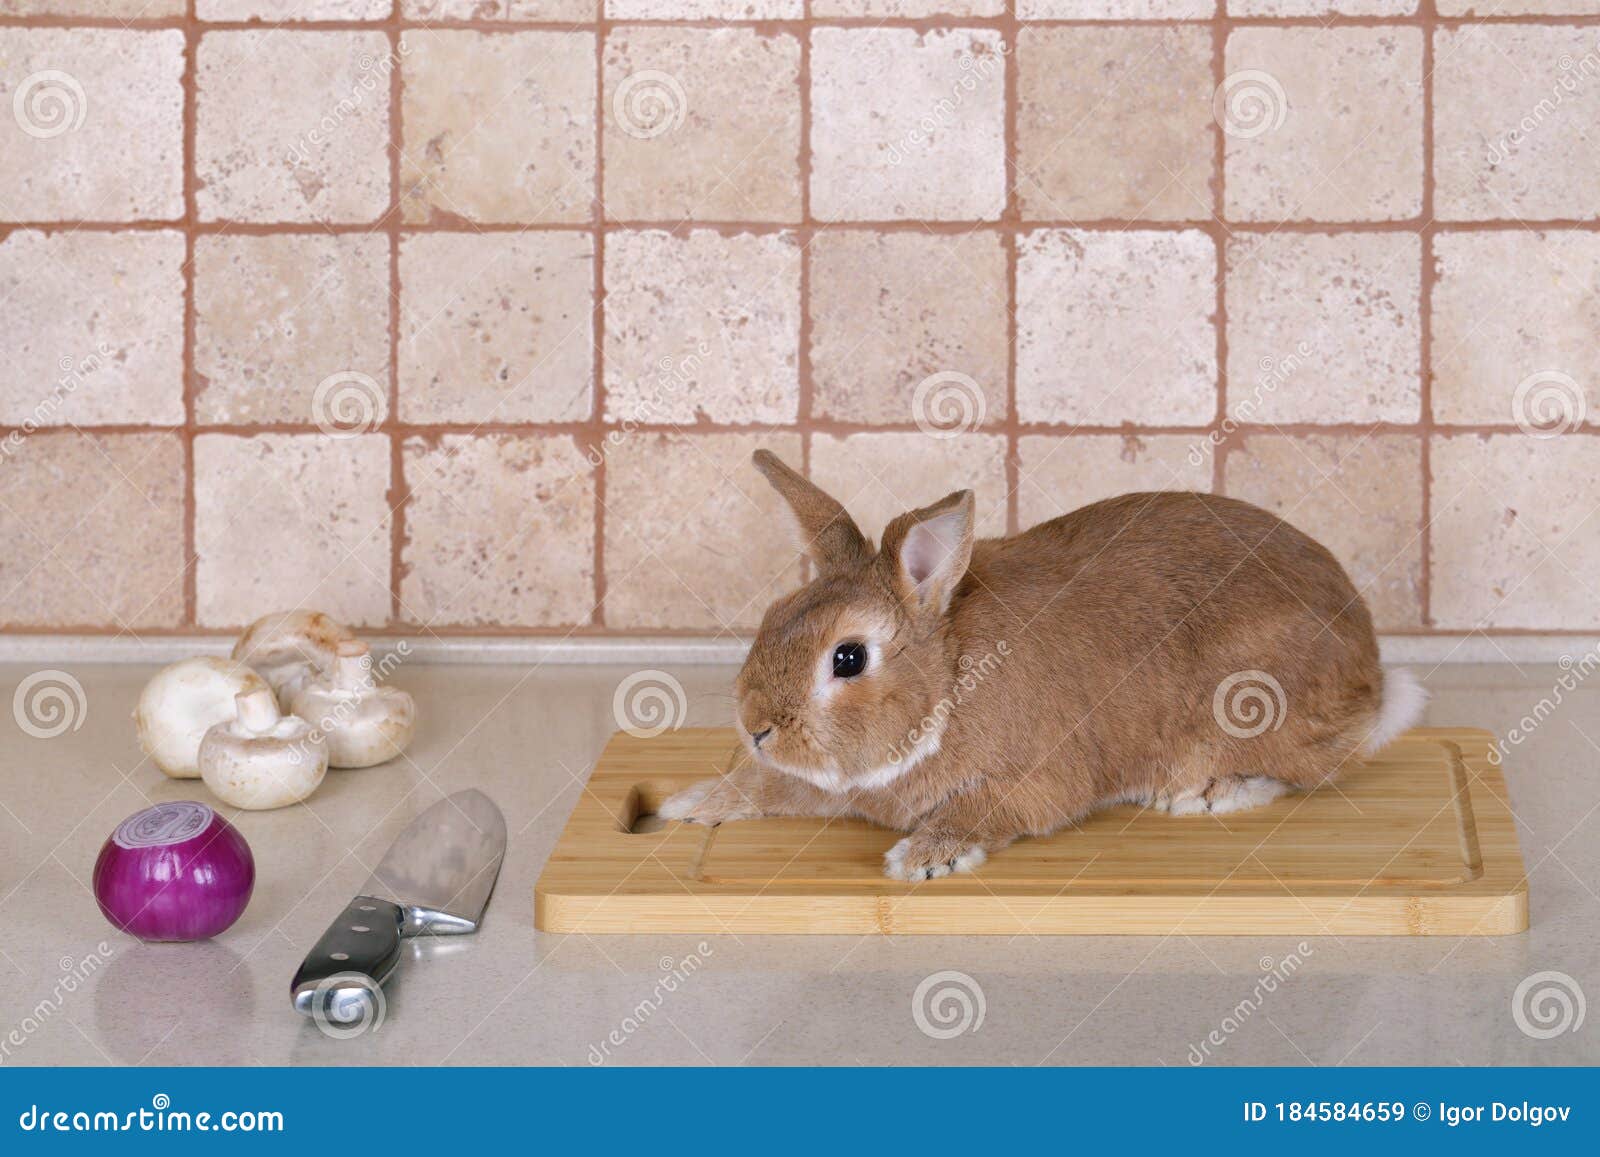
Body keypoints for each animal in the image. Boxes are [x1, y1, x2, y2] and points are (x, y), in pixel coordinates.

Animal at [659, 450, 1428, 881]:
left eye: (847, 658)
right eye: (774, 615)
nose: (756, 727)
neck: (950, 679)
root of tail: (1370, 665)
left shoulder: (1037, 780)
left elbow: (989, 809)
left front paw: (924, 857)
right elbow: (772, 786)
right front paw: (690, 803)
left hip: (1258, 703)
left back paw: (1205, 792)